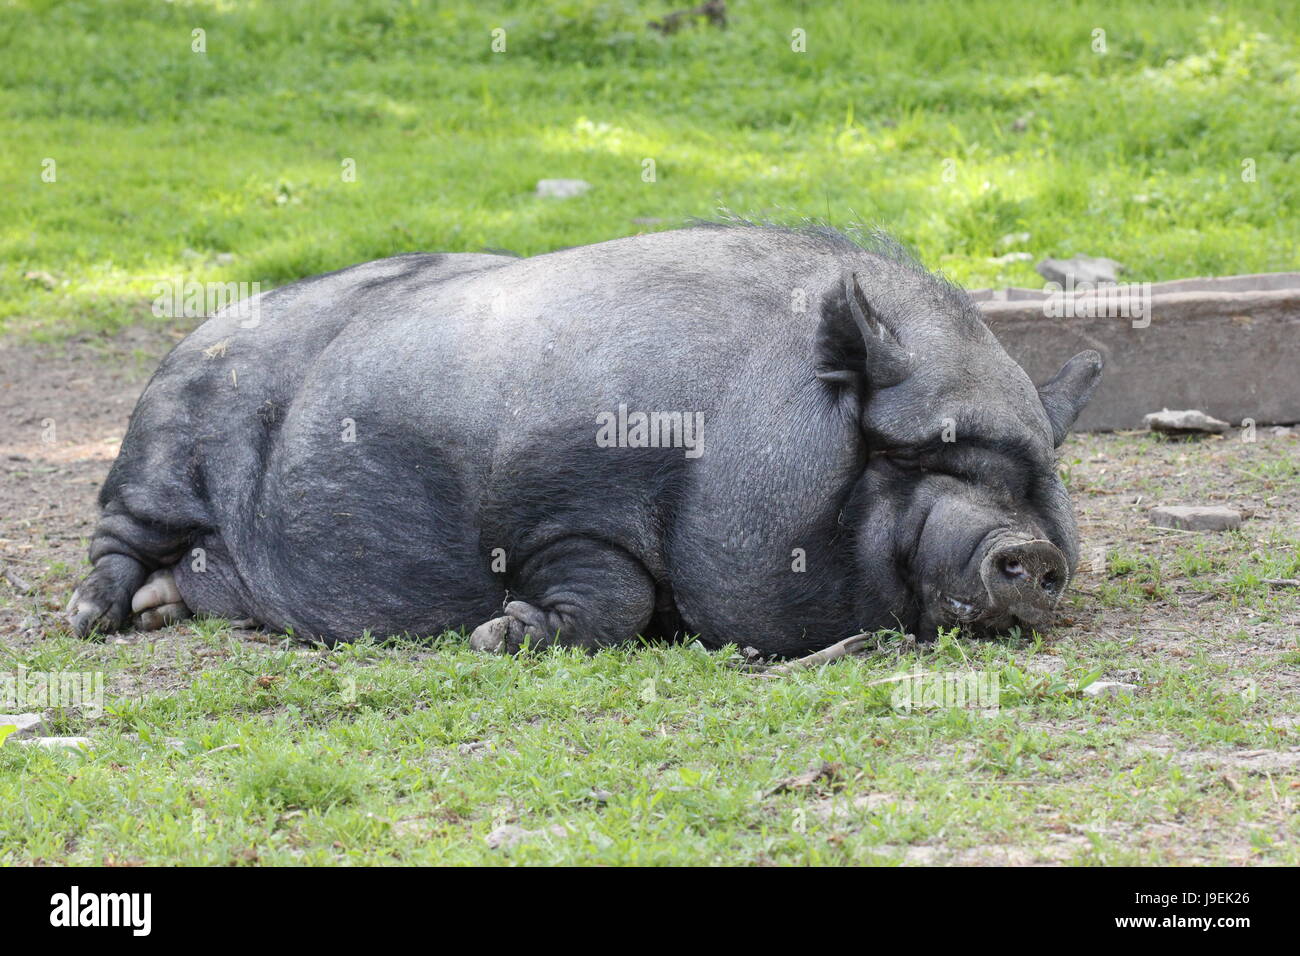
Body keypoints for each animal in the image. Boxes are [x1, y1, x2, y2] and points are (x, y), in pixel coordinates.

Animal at [67, 223, 1101, 656]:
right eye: (907, 457)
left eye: (1032, 481)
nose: (1029, 552)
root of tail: (195, 334)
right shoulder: (557, 508)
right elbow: (611, 588)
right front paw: (495, 634)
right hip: (157, 461)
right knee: (113, 537)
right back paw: (94, 618)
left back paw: (160, 609)